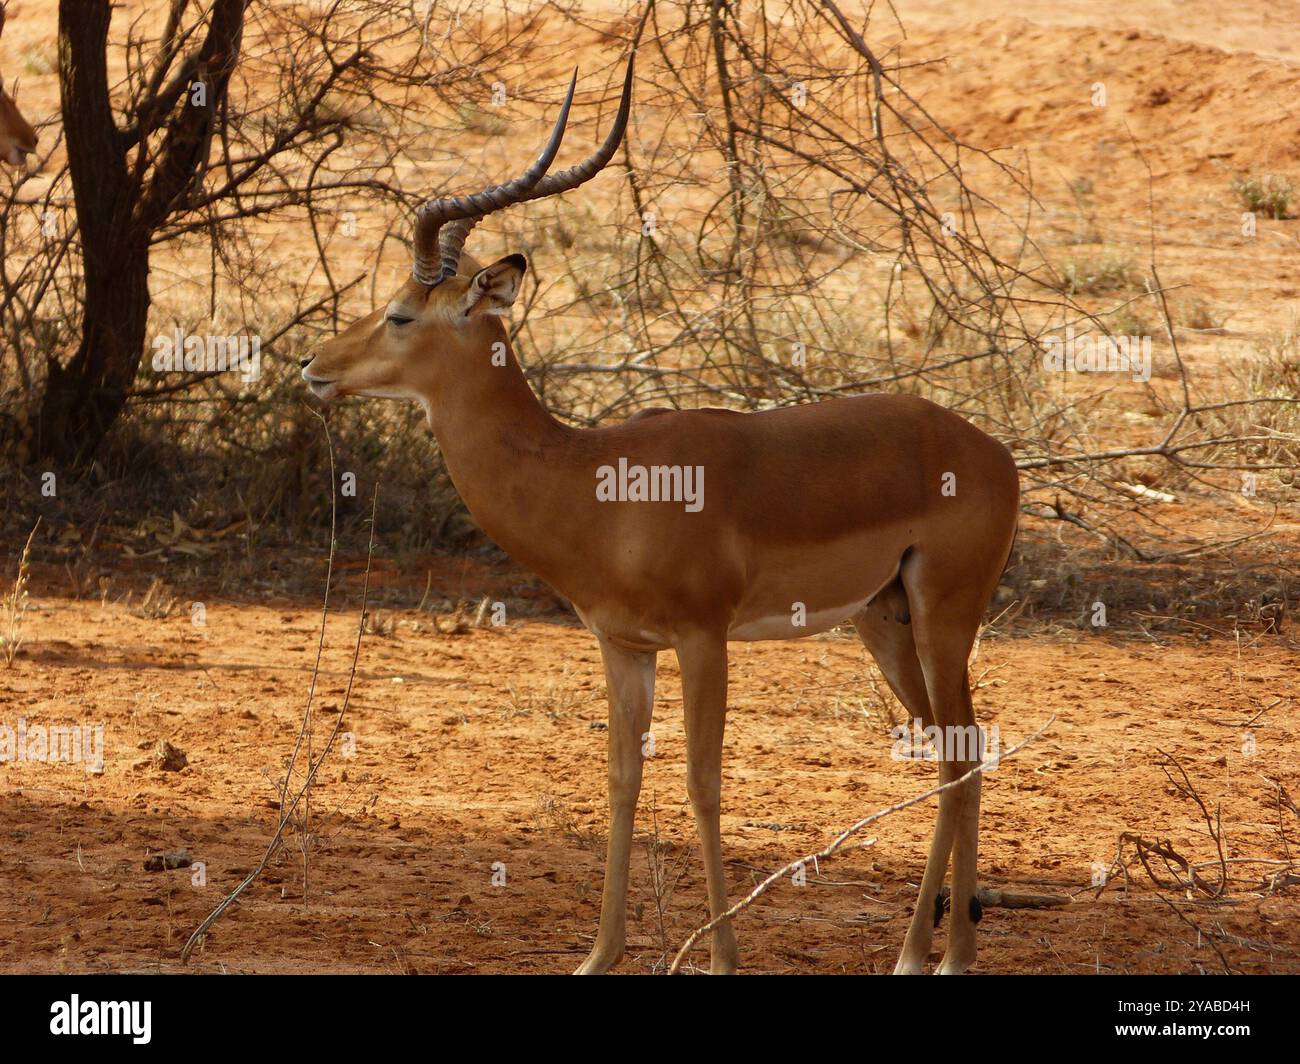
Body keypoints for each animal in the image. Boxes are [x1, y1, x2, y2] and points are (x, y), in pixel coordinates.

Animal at [301, 46, 1019, 975]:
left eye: (398, 314)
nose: (315, 365)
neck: (594, 482)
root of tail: (993, 452)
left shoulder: (703, 638)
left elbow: (702, 783)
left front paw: (721, 960)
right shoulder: (624, 645)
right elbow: (621, 779)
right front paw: (598, 955)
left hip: (942, 618)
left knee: (964, 754)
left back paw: (945, 955)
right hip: (883, 622)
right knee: (948, 754)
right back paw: (920, 951)